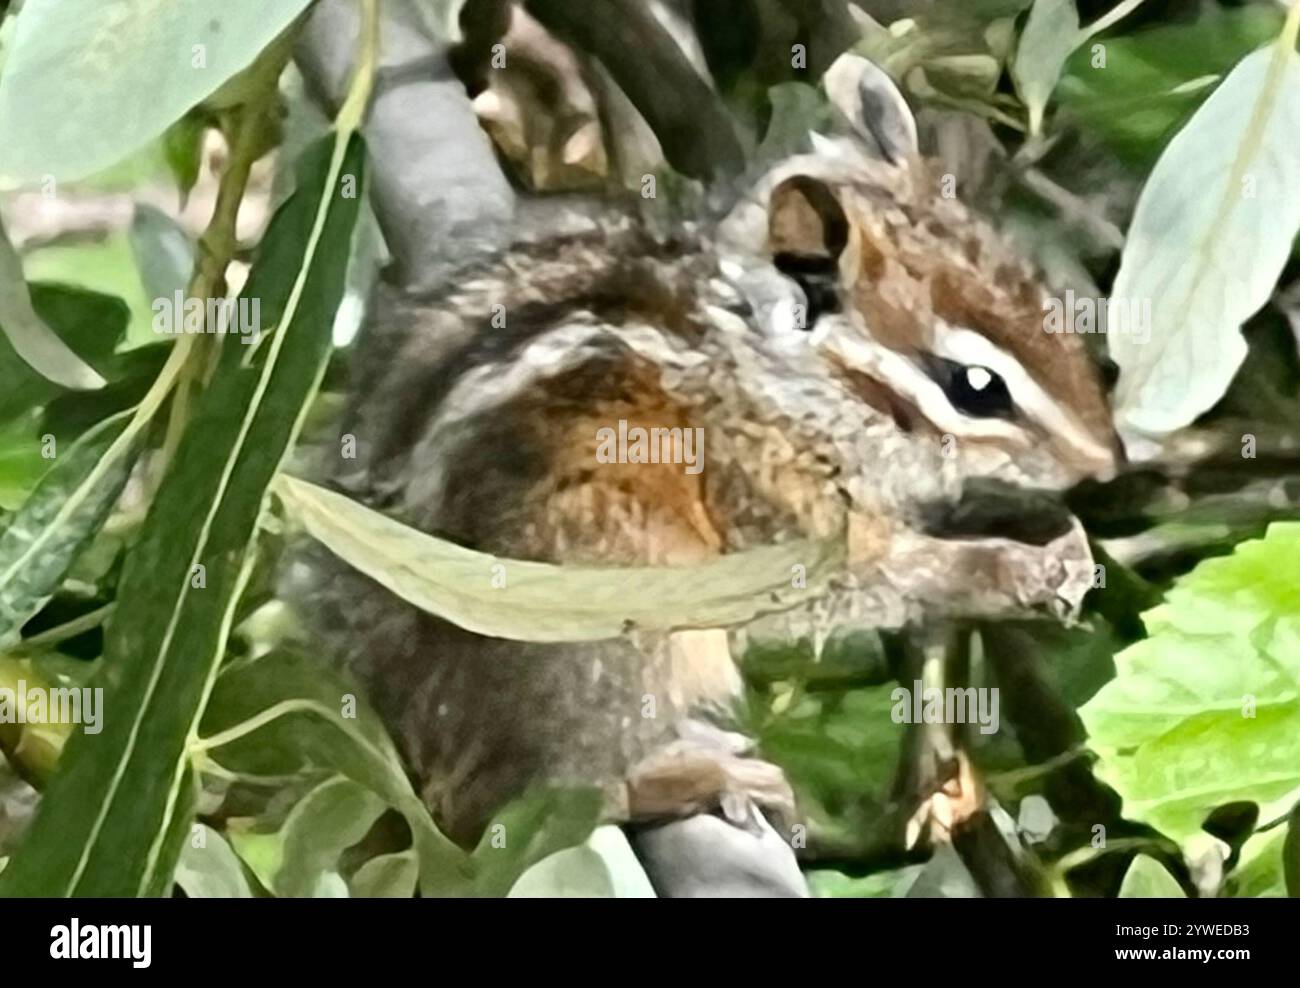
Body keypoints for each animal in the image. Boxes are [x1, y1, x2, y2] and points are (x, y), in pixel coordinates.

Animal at [293, 54, 1119, 860]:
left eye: (1039, 289)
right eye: (975, 386)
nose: (1106, 463)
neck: (775, 376)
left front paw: (1055, 534)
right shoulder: (782, 522)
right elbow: (877, 580)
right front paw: (1013, 567)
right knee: (533, 794)